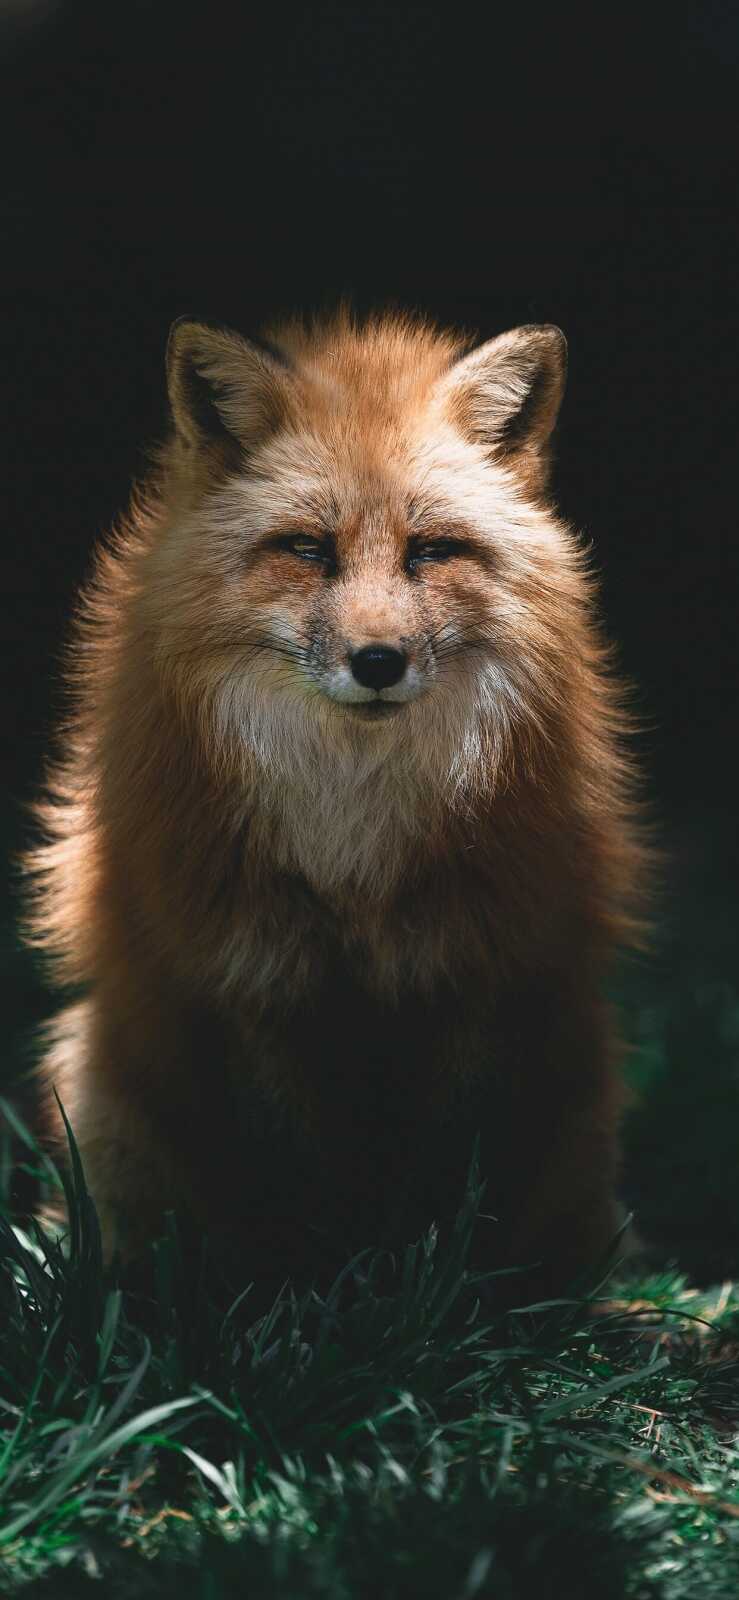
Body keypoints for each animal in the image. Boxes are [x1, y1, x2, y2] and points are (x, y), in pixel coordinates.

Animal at [24, 307, 647, 1289]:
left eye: (430, 551)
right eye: (308, 550)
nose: (378, 663)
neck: (352, 841)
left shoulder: (467, 968)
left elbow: (444, 1178)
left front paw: (435, 1296)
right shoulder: (250, 972)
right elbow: (286, 1178)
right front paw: (299, 1301)